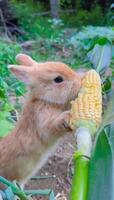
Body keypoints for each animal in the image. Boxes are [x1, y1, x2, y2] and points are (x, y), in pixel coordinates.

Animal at [0, 54, 82, 187]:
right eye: (58, 79)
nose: (79, 82)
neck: (42, 99)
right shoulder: (42, 117)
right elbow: (52, 126)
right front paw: (67, 117)